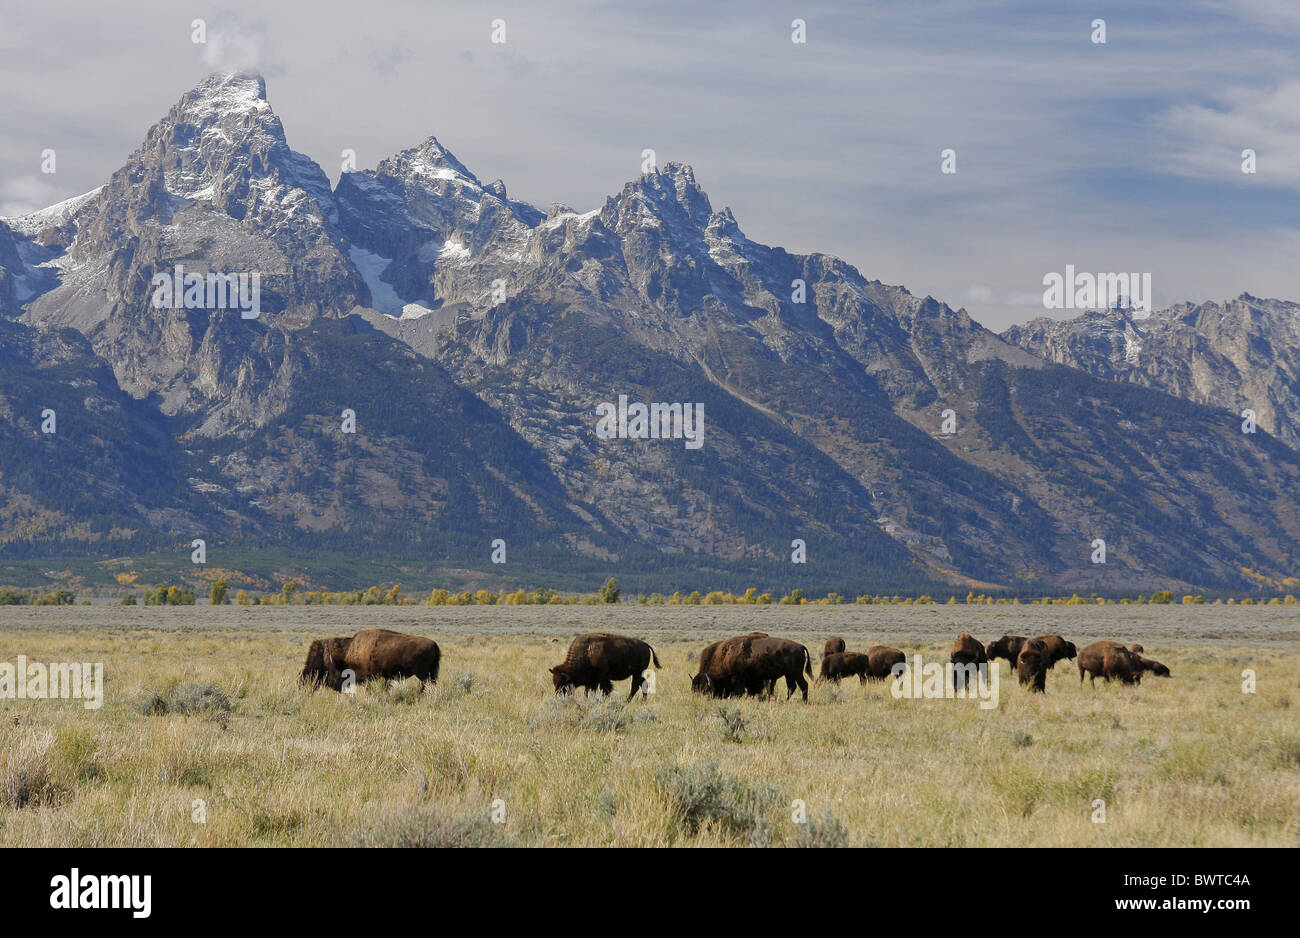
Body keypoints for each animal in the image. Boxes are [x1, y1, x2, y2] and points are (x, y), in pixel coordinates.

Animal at [300, 629, 440, 692]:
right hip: (429, 674)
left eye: (334, 672)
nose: (333, 686)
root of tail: (434, 644)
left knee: (426, 685)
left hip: (423, 674)